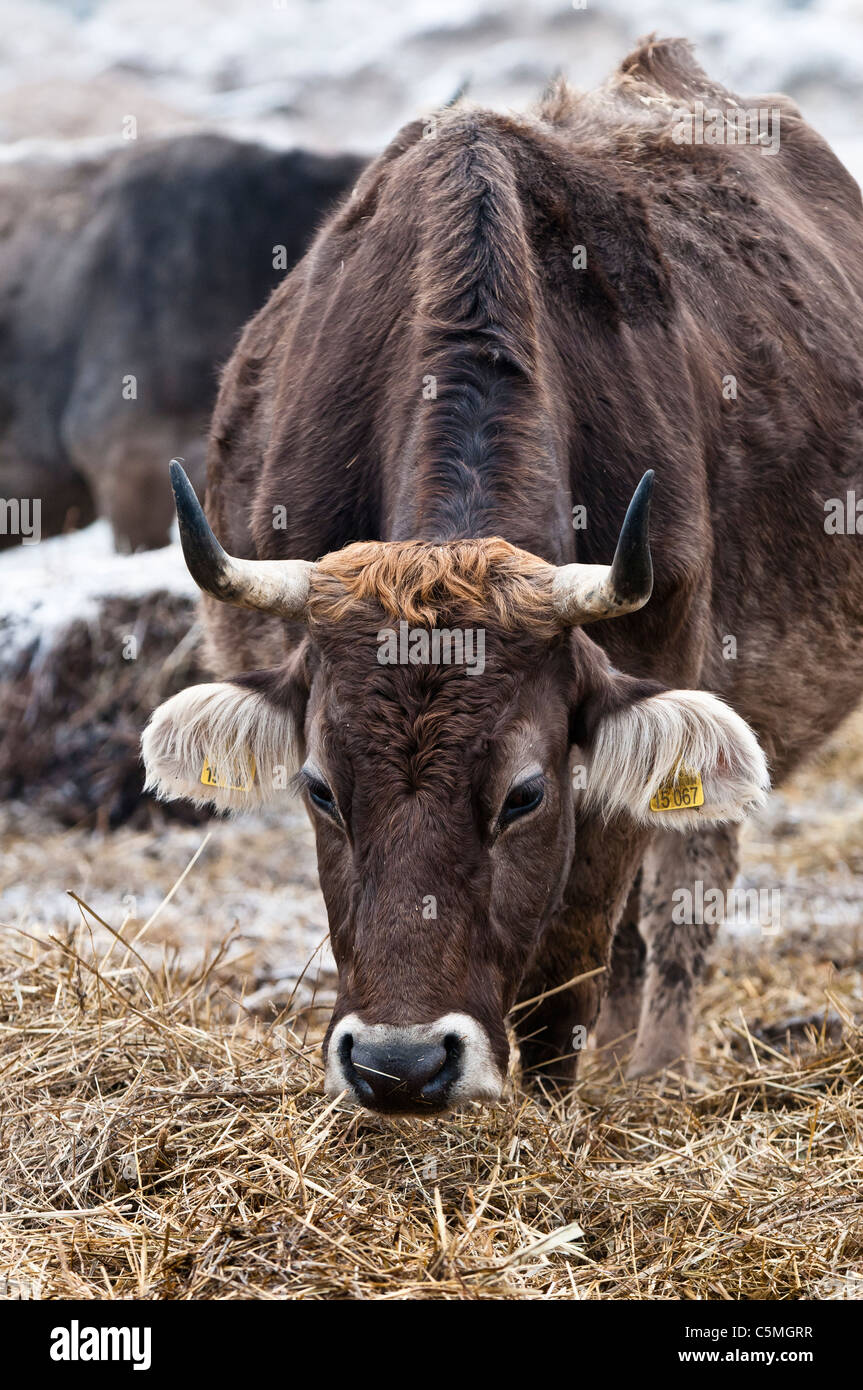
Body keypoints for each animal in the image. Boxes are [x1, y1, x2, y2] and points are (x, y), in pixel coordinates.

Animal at [142, 38, 863, 1114]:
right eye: (318, 787)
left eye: (523, 794)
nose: (398, 1065)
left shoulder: (631, 705)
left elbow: (571, 960)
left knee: (674, 912)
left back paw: (651, 1070)